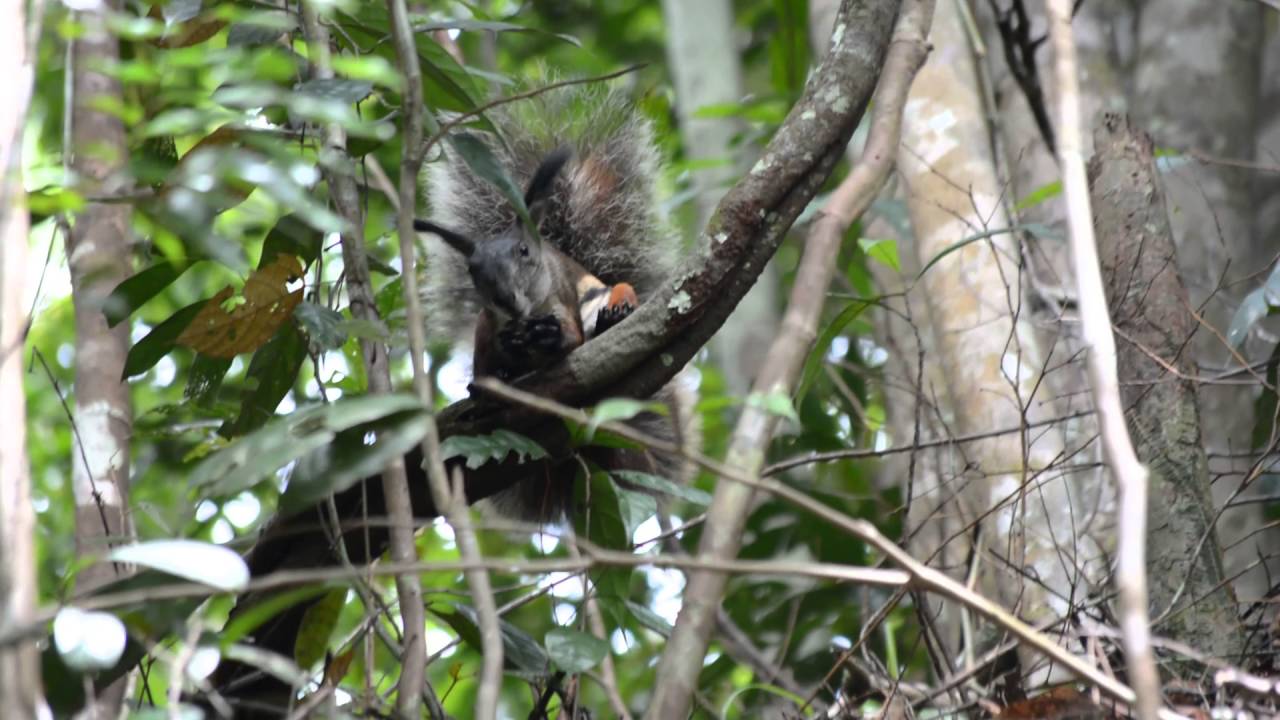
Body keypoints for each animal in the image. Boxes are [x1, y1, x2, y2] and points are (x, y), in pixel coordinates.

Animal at [417, 85, 697, 522]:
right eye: (473, 269)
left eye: (524, 252)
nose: (506, 298)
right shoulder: (486, 329)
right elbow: (484, 372)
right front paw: (496, 376)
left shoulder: (564, 305)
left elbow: (571, 341)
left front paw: (549, 336)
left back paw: (613, 317)